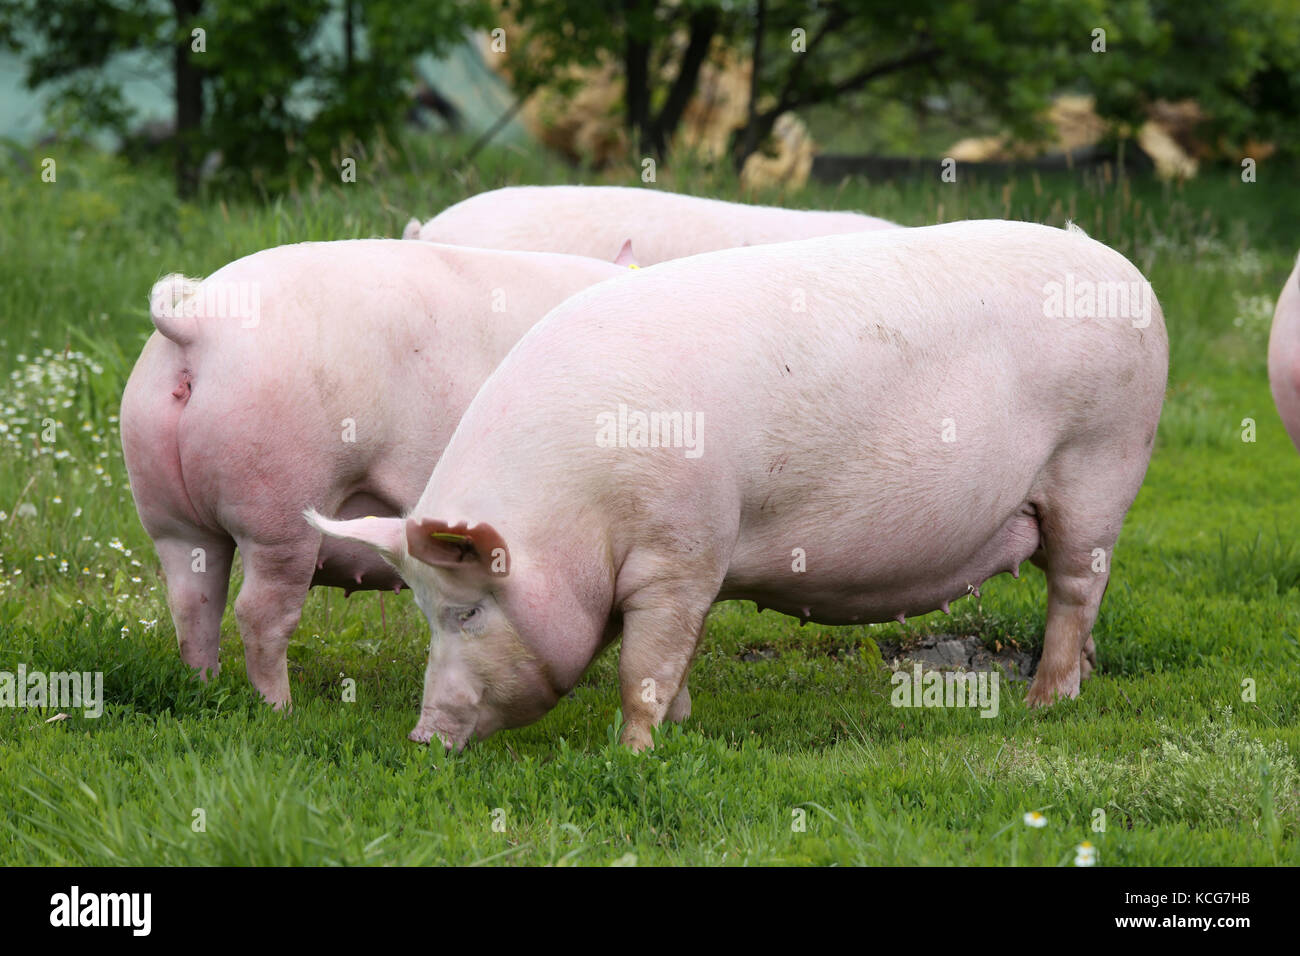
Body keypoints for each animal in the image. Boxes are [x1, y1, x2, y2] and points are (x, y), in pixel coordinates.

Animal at [121, 239, 624, 707]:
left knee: (192, 603)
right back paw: (281, 709)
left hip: (165, 509)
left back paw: (203, 689)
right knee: (259, 612)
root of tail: (193, 328)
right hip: (279, 505)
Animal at [309, 220, 1167, 750]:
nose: (422, 737)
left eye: (468, 610)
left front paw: (634, 751)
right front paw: (685, 728)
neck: (579, 506)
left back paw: (1044, 702)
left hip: (1102, 462)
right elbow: (679, 656)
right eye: (424, 611)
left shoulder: (681, 546)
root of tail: (1130, 275)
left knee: (1076, 586)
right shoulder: (692, 563)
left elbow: (645, 663)